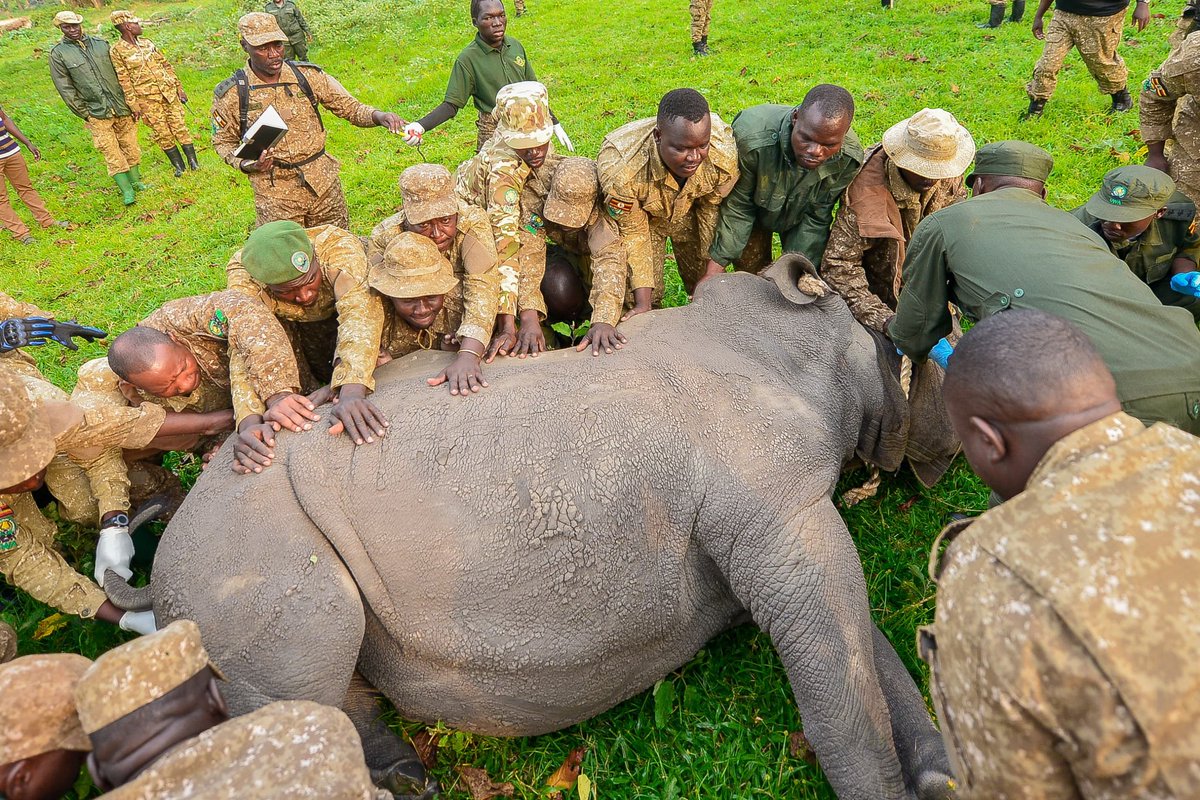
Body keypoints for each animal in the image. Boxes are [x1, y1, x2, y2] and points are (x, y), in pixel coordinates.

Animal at [111, 256, 960, 800]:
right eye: (889, 345)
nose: (938, 449)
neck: (781, 343)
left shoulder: (789, 520)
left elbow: (856, 644)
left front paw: (941, 772)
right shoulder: (776, 510)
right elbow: (840, 684)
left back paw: (406, 774)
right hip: (236, 544)